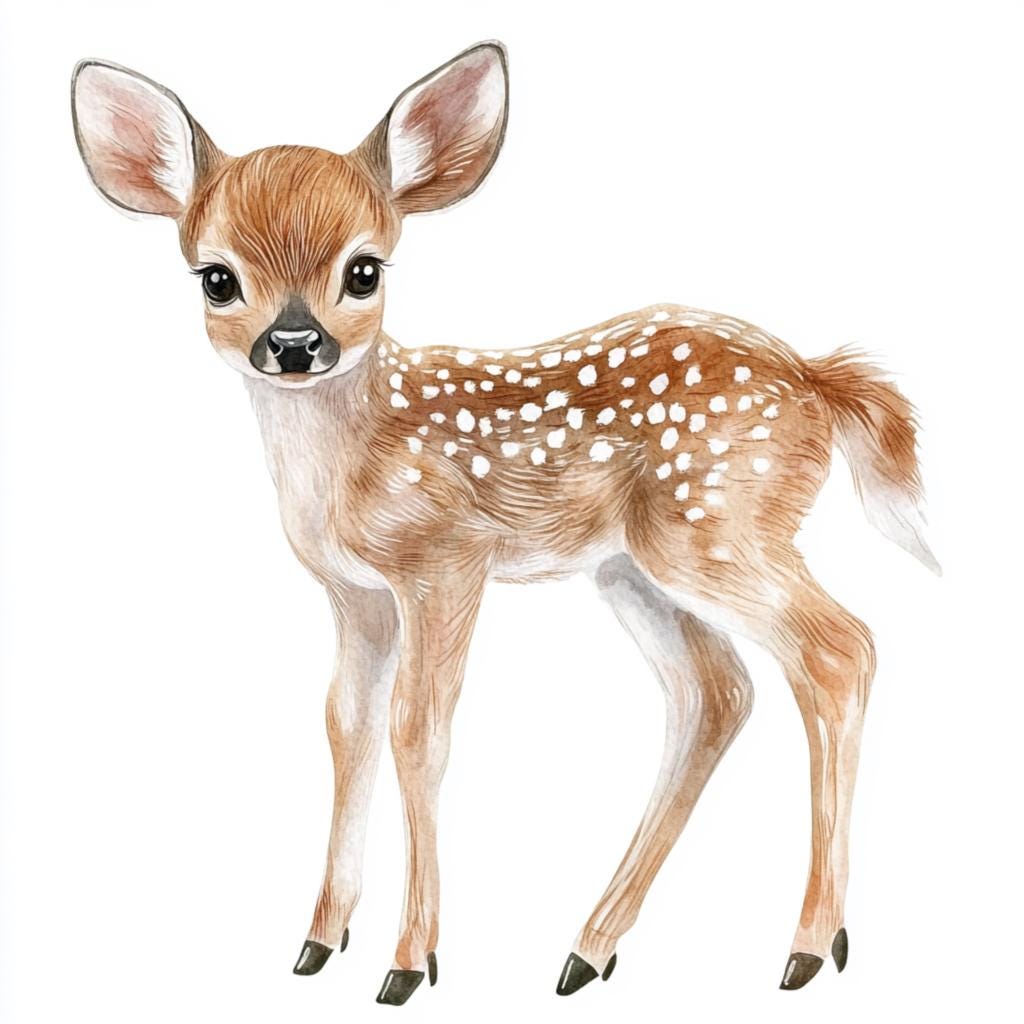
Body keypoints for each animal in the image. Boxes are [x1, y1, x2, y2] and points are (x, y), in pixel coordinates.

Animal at [70, 41, 939, 1005]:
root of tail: (819, 380)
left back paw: (809, 947)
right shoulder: (355, 592)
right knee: (717, 694)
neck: (346, 464)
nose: (294, 345)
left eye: (364, 269)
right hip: (633, 567)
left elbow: (419, 731)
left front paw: (410, 963)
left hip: (718, 524)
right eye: (218, 278)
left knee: (840, 649)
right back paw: (590, 948)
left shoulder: (446, 558)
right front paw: (320, 939)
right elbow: (346, 724)